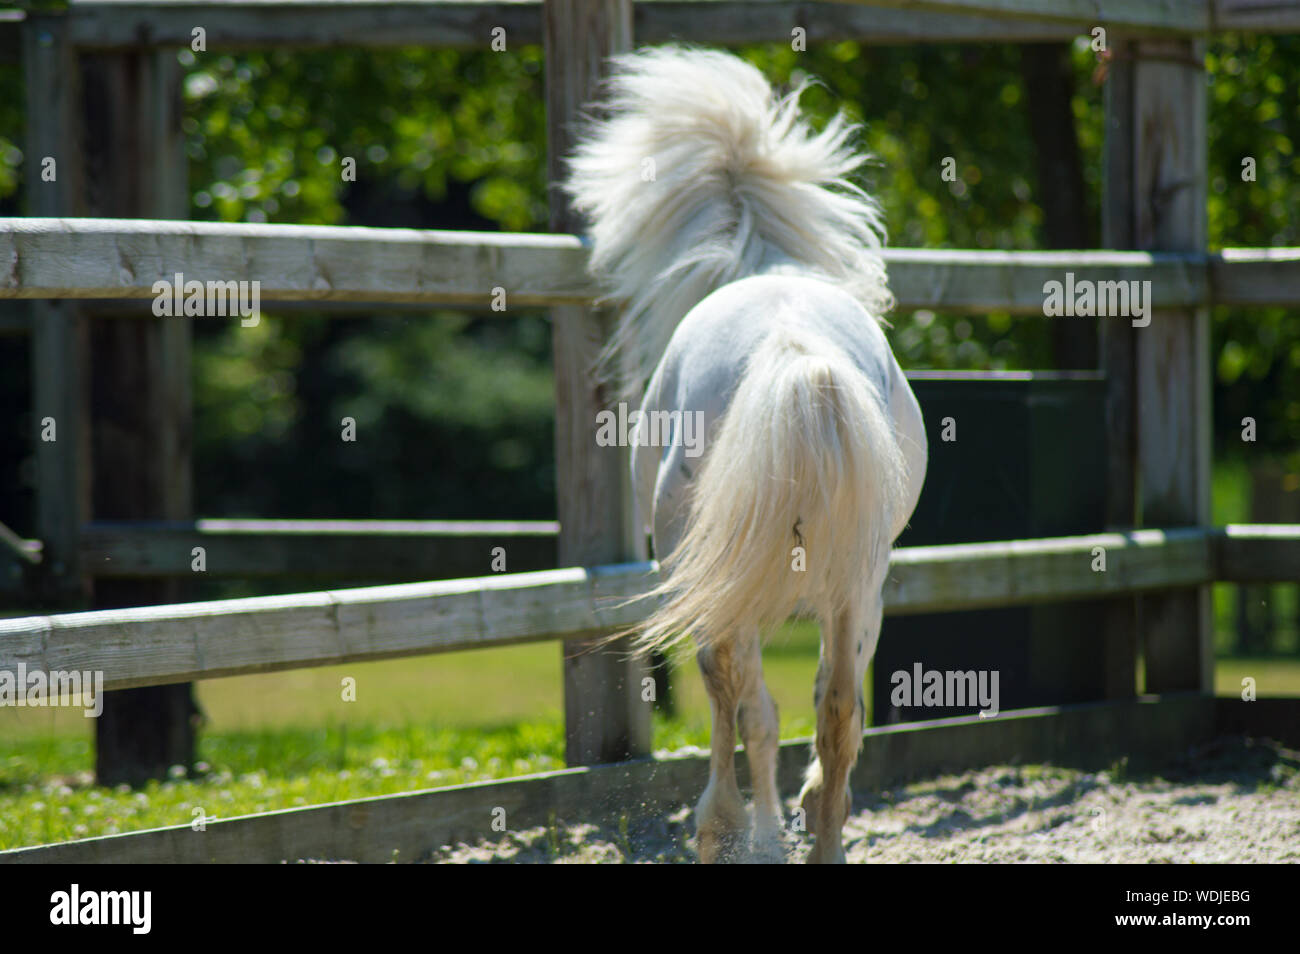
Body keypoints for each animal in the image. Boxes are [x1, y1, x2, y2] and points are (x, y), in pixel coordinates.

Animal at [564, 46, 928, 864]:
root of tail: (792, 356)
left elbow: (733, 697)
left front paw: (731, 826)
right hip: (860, 583)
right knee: (836, 711)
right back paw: (820, 840)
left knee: (748, 698)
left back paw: (743, 831)